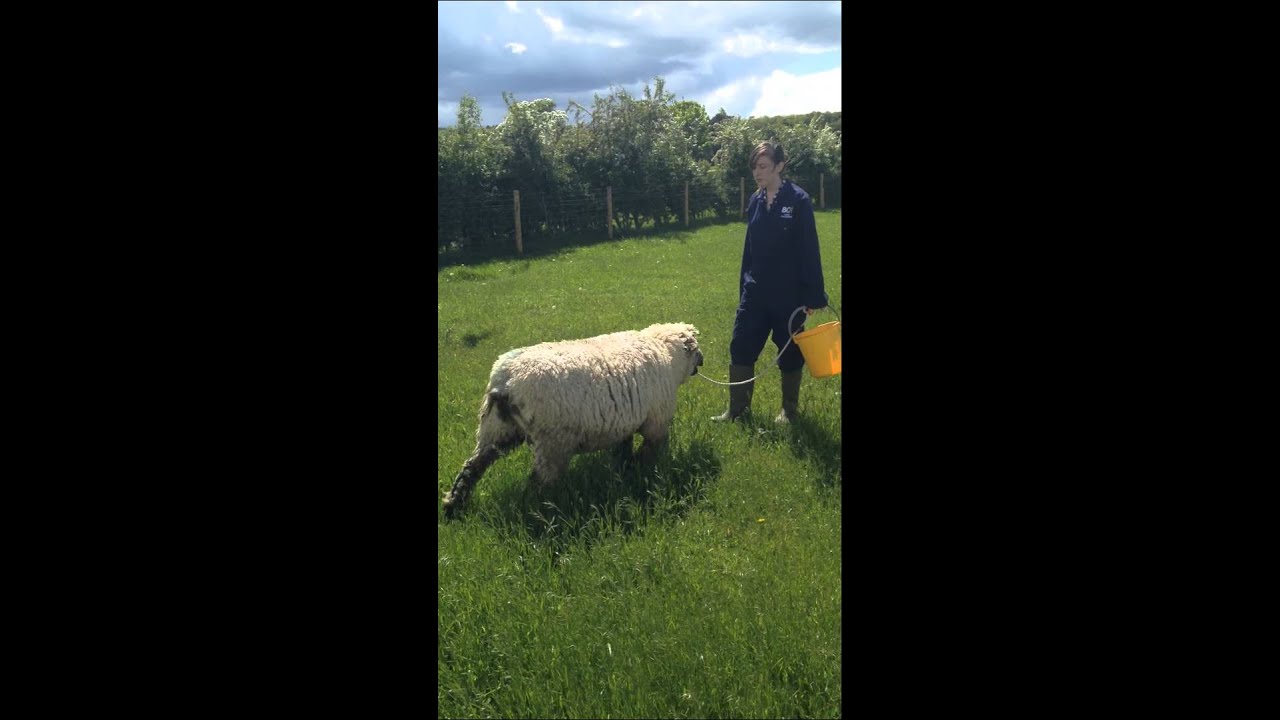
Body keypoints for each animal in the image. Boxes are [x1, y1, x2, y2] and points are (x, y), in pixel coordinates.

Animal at [442, 322, 704, 517]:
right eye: (696, 349)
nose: (701, 361)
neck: (665, 353)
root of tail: (505, 382)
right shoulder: (655, 422)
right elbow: (650, 450)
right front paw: (644, 470)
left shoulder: (624, 422)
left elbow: (623, 450)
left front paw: (625, 471)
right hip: (552, 441)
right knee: (538, 481)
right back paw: (542, 511)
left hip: (496, 429)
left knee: (471, 468)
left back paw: (452, 507)